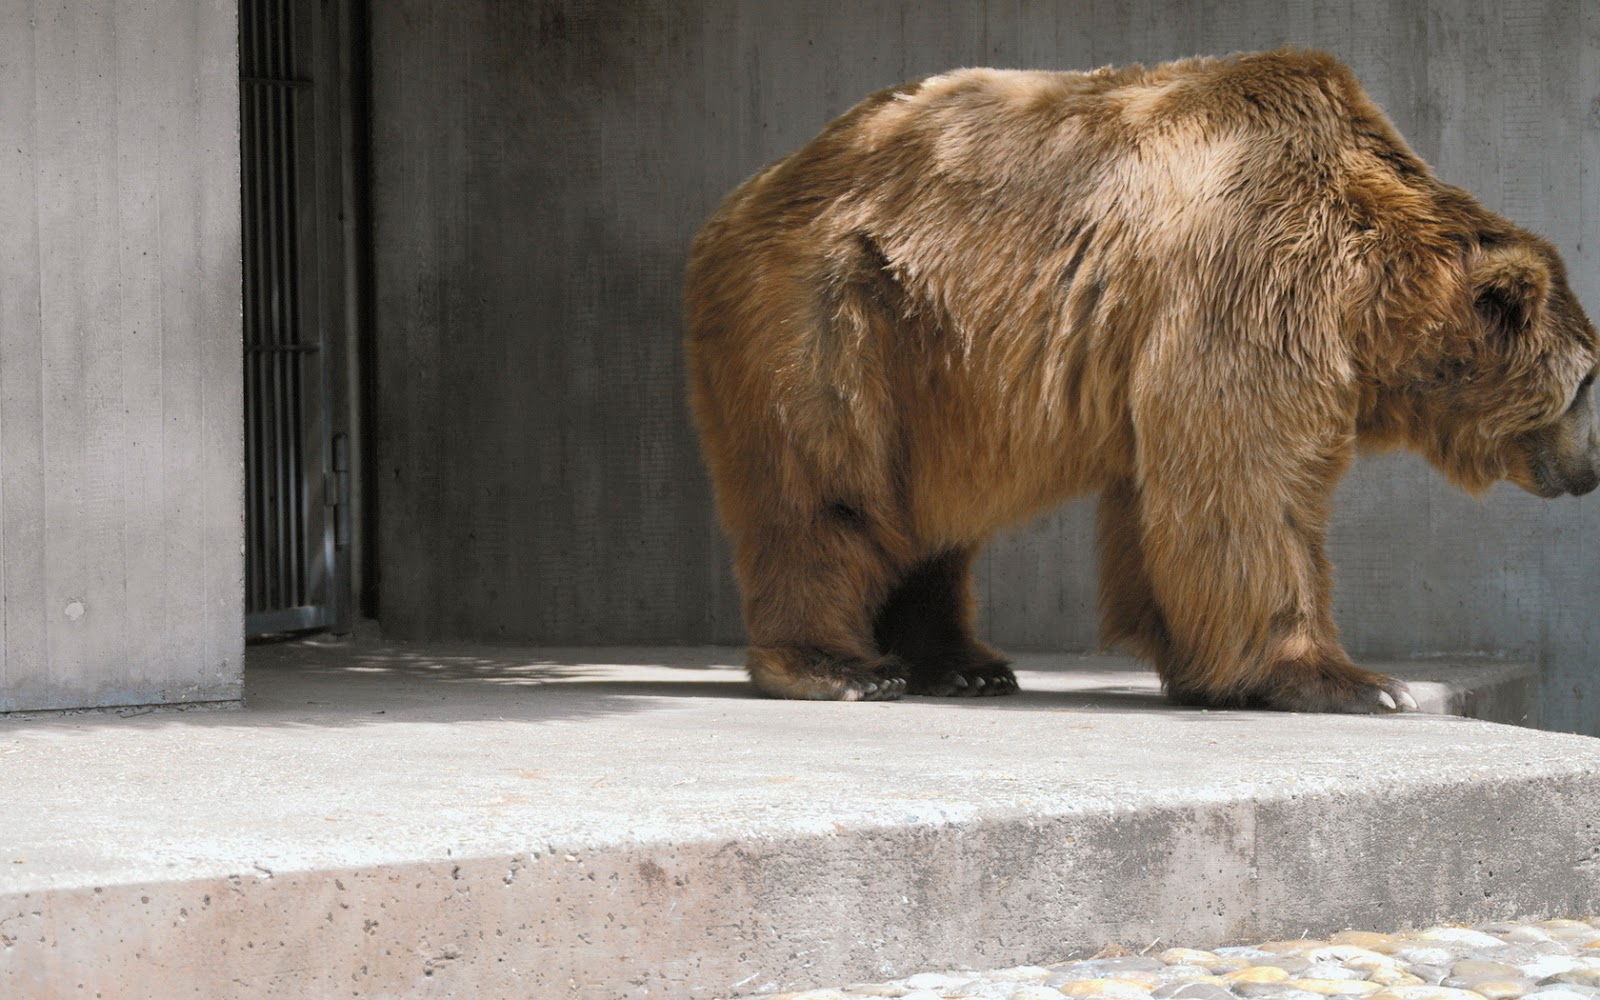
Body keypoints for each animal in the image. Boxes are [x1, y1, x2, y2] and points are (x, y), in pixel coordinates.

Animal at [682, 49, 1600, 712]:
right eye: (1591, 381)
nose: (1593, 467)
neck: (1368, 291)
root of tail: (752, 188)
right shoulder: (1254, 273)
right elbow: (1249, 479)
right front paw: (1356, 681)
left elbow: (1168, 503)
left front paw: (1202, 670)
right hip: (830, 304)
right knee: (824, 480)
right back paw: (840, 667)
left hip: (934, 357)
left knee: (927, 516)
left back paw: (964, 664)